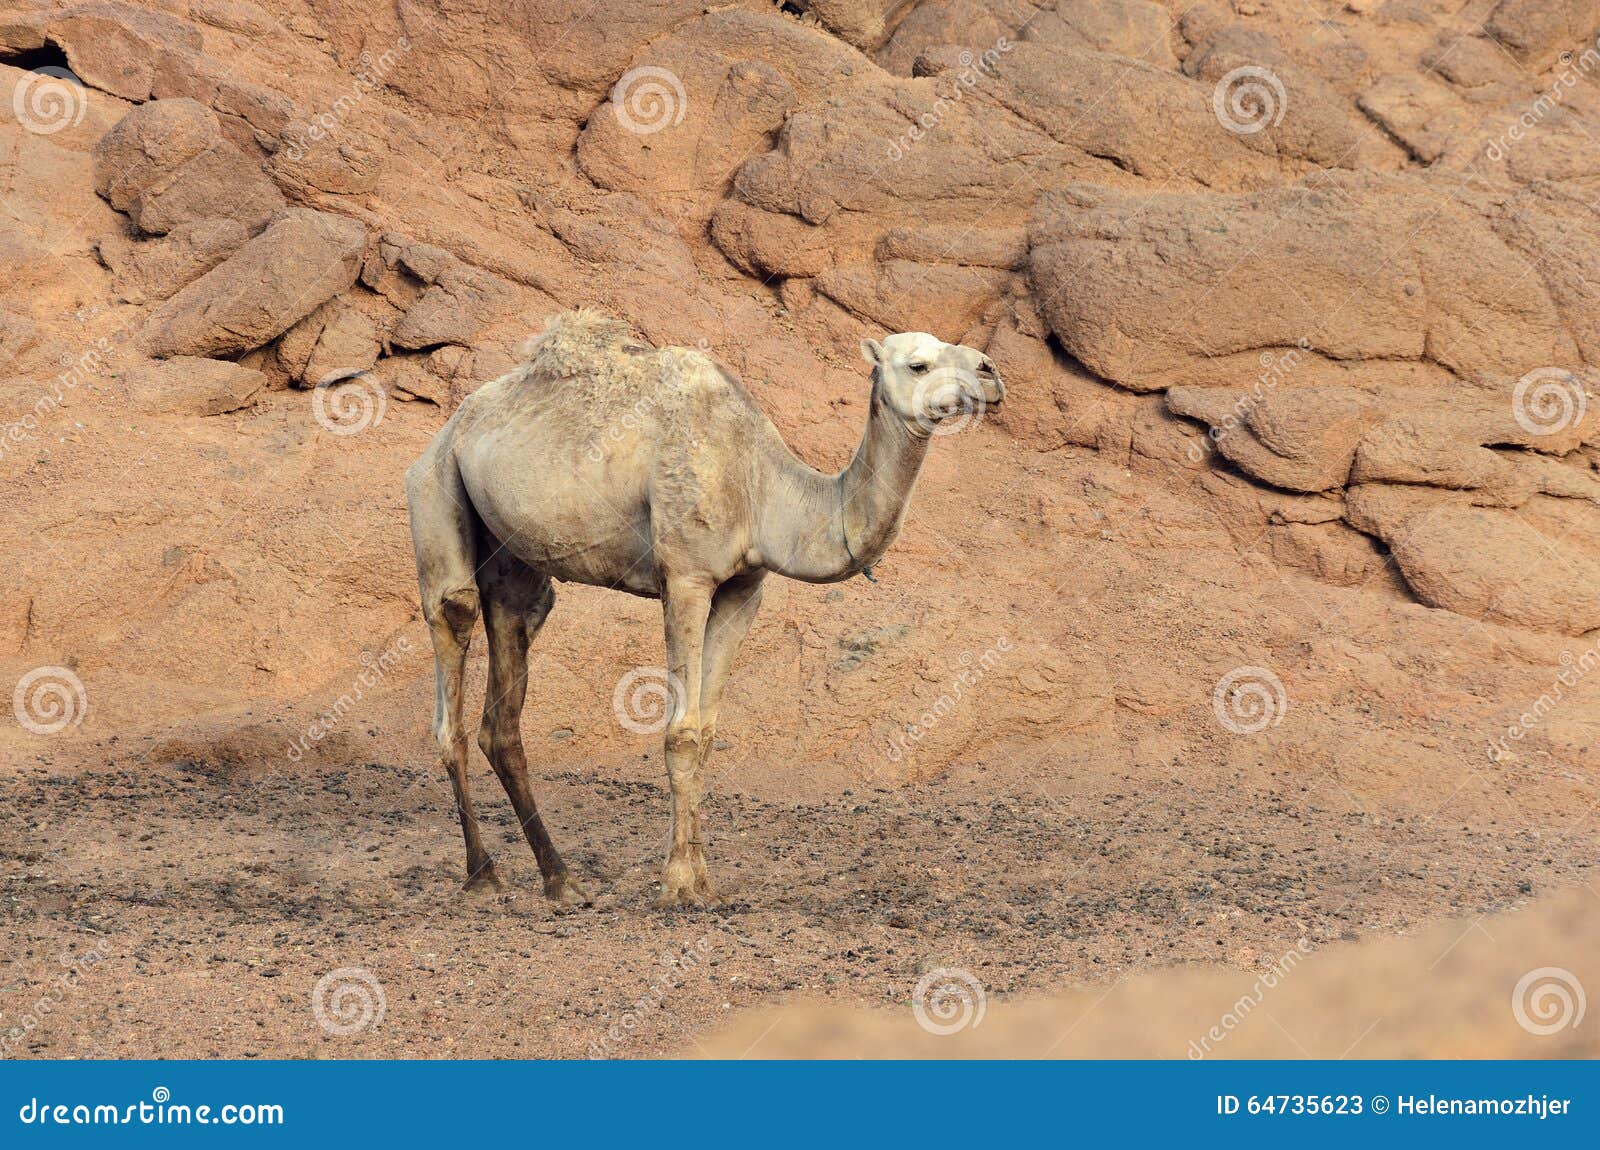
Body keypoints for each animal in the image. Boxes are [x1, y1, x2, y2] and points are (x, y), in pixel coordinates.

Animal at [405, 310, 1004, 906]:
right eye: (917, 364)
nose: (990, 372)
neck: (759, 484)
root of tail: (450, 428)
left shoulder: (743, 589)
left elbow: (708, 731)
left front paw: (702, 878)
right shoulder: (686, 578)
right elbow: (681, 732)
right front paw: (676, 882)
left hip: (518, 561)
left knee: (505, 690)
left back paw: (559, 877)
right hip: (435, 488)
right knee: (453, 638)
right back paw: (483, 872)